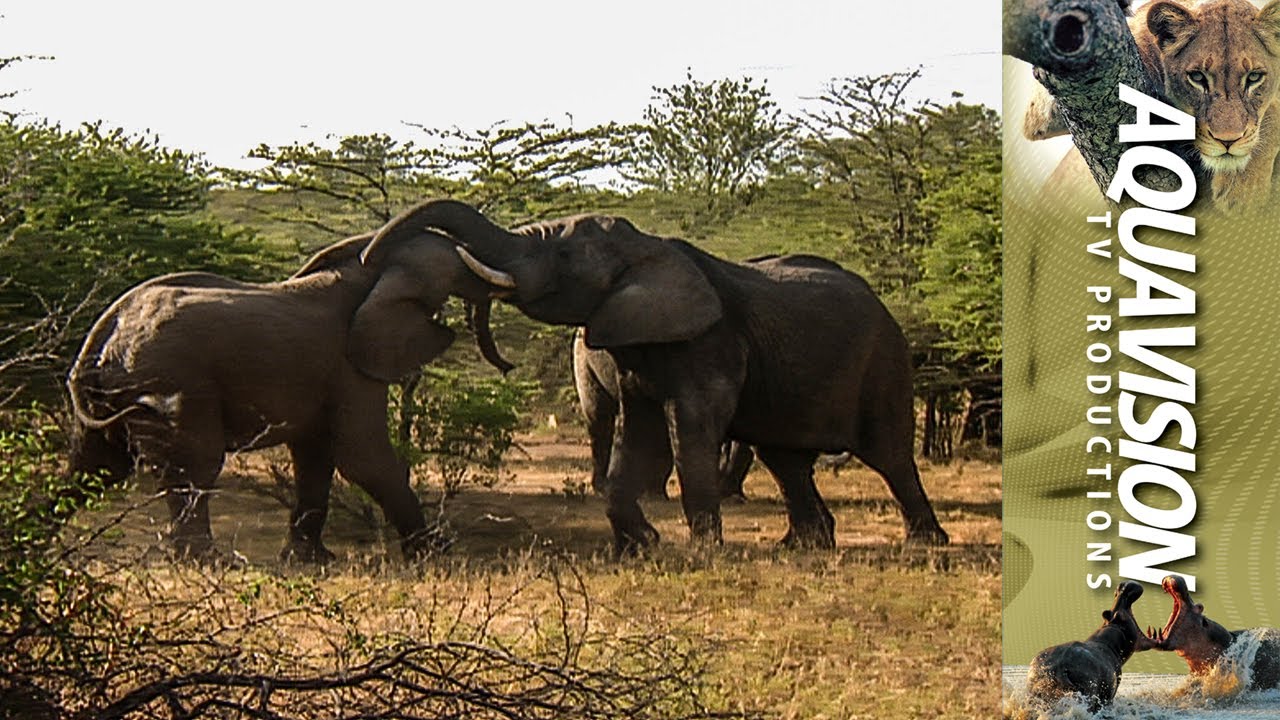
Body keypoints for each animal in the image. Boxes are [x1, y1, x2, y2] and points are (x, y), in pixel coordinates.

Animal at [66, 228, 515, 561]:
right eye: (458, 266)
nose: (507, 366)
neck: (370, 269)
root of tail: (109, 325)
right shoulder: (350, 365)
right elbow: (362, 457)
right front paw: (435, 553)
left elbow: (317, 456)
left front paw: (311, 560)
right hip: (172, 378)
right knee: (195, 464)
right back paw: (210, 561)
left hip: (114, 389)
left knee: (94, 466)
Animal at [362, 199, 949, 552]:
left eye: (563, 253)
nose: (367, 255)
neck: (649, 247)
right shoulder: (635, 349)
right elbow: (639, 432)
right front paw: (641, 546)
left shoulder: (708, 343)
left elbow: (690, 428)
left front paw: (703, 551)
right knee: (785, 461)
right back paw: (804, 547)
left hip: (885, 358)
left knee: (889, 455)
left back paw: (926, 545)